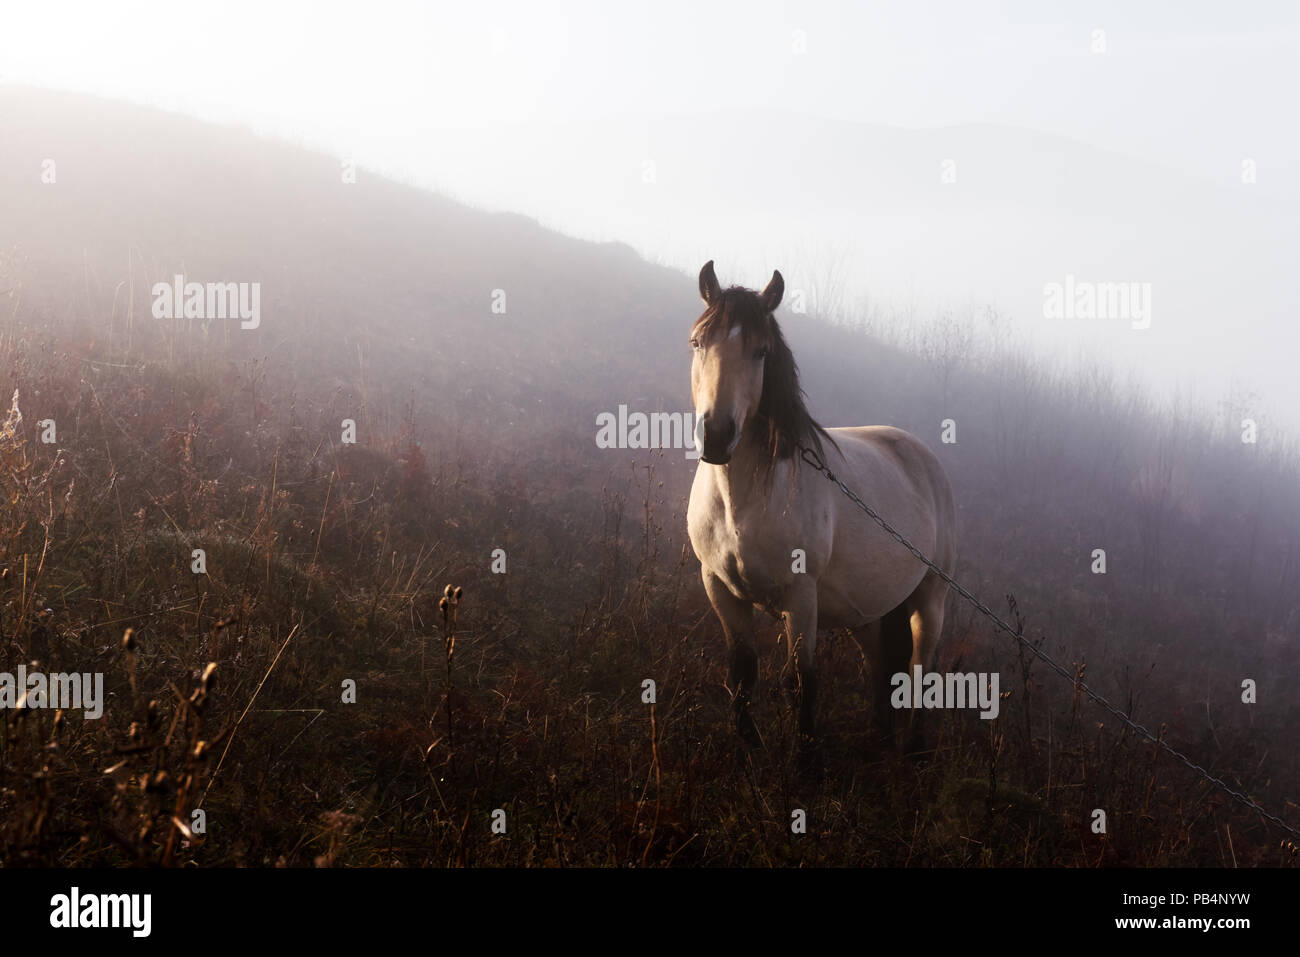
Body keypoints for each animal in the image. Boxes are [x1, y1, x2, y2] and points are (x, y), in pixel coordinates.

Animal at [686, 260, 957, 758]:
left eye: (761, 352)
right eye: (698, 342)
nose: (716, 436)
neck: (744, 501)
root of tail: (921, 455)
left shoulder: (801, 598)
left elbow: (802, 682)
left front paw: (805, 760)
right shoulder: (720, 589)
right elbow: (742, 675)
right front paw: (749, 750)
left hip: (930, 598)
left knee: (920, 671)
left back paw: (912, 751)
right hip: (868, 613)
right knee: (880, 669)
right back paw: (880, 744)